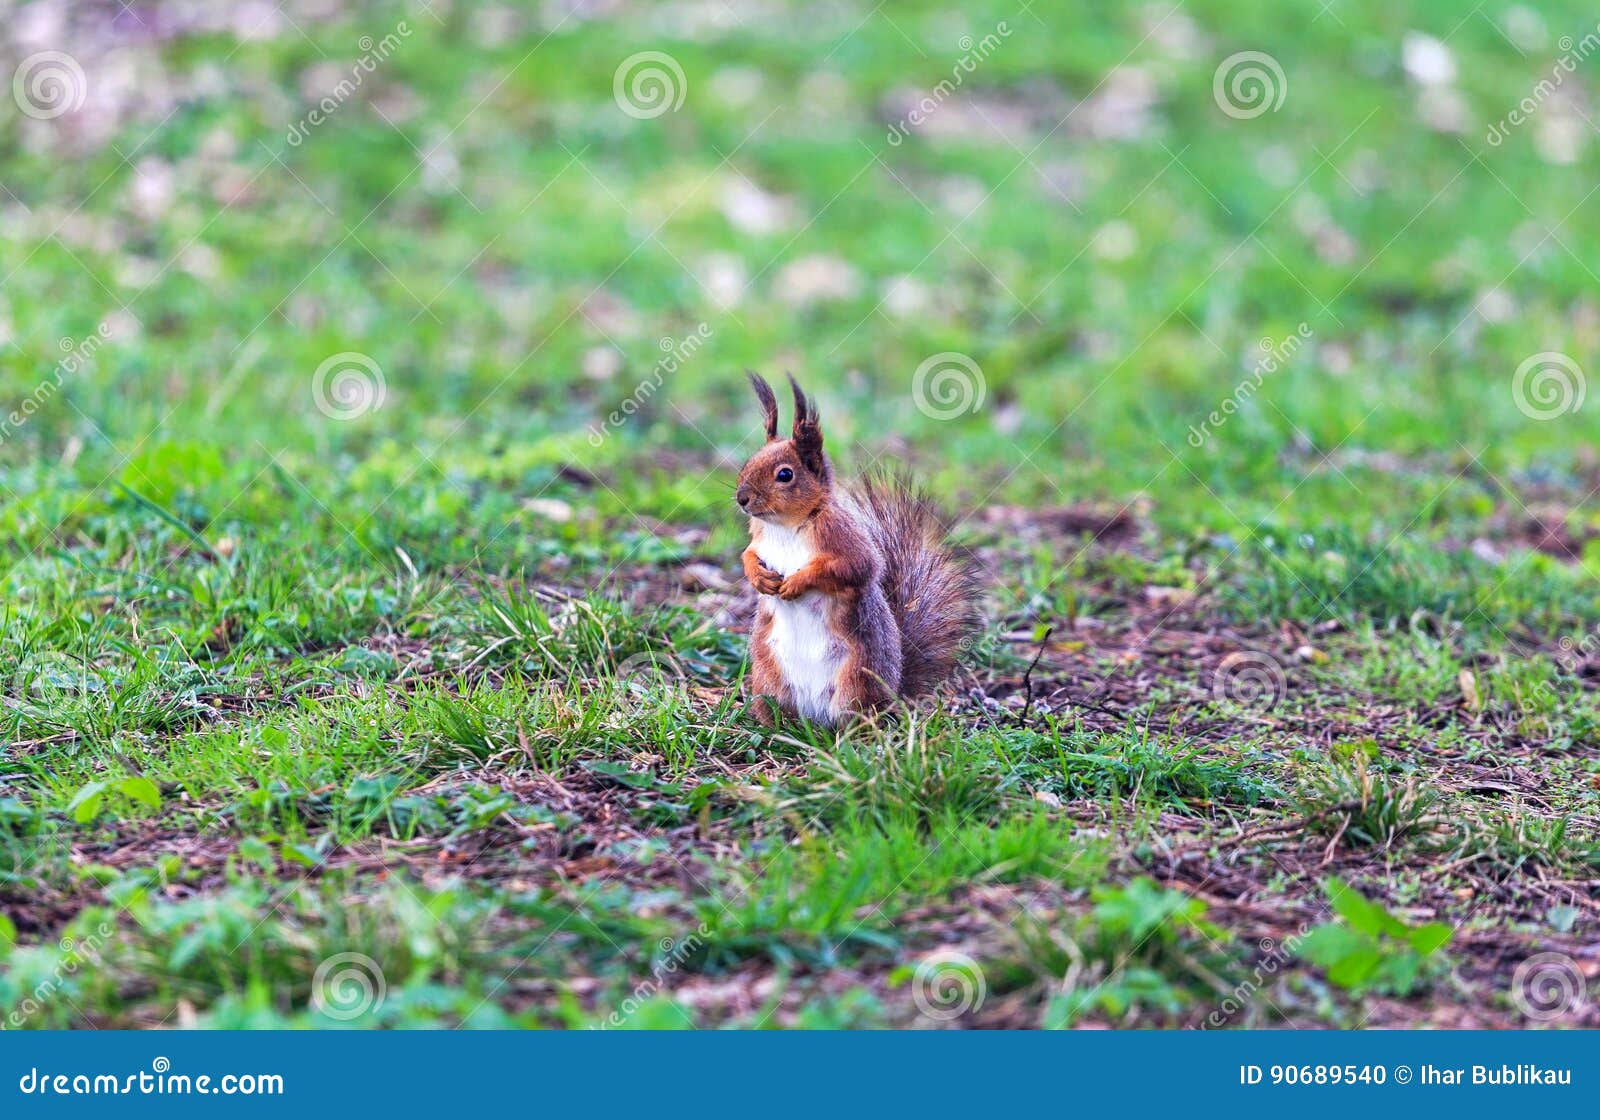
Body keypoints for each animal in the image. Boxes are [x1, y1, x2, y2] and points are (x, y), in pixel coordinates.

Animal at [735, 372, 978, 727]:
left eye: (785, 474)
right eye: (749, 462)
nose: (741, 498)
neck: (785, 526)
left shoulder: (843, 539)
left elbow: (854, 567)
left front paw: (796, 582)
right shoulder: (760, 537)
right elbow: (748, 554)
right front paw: (758, 577)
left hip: (856, 681)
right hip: (768, 679)